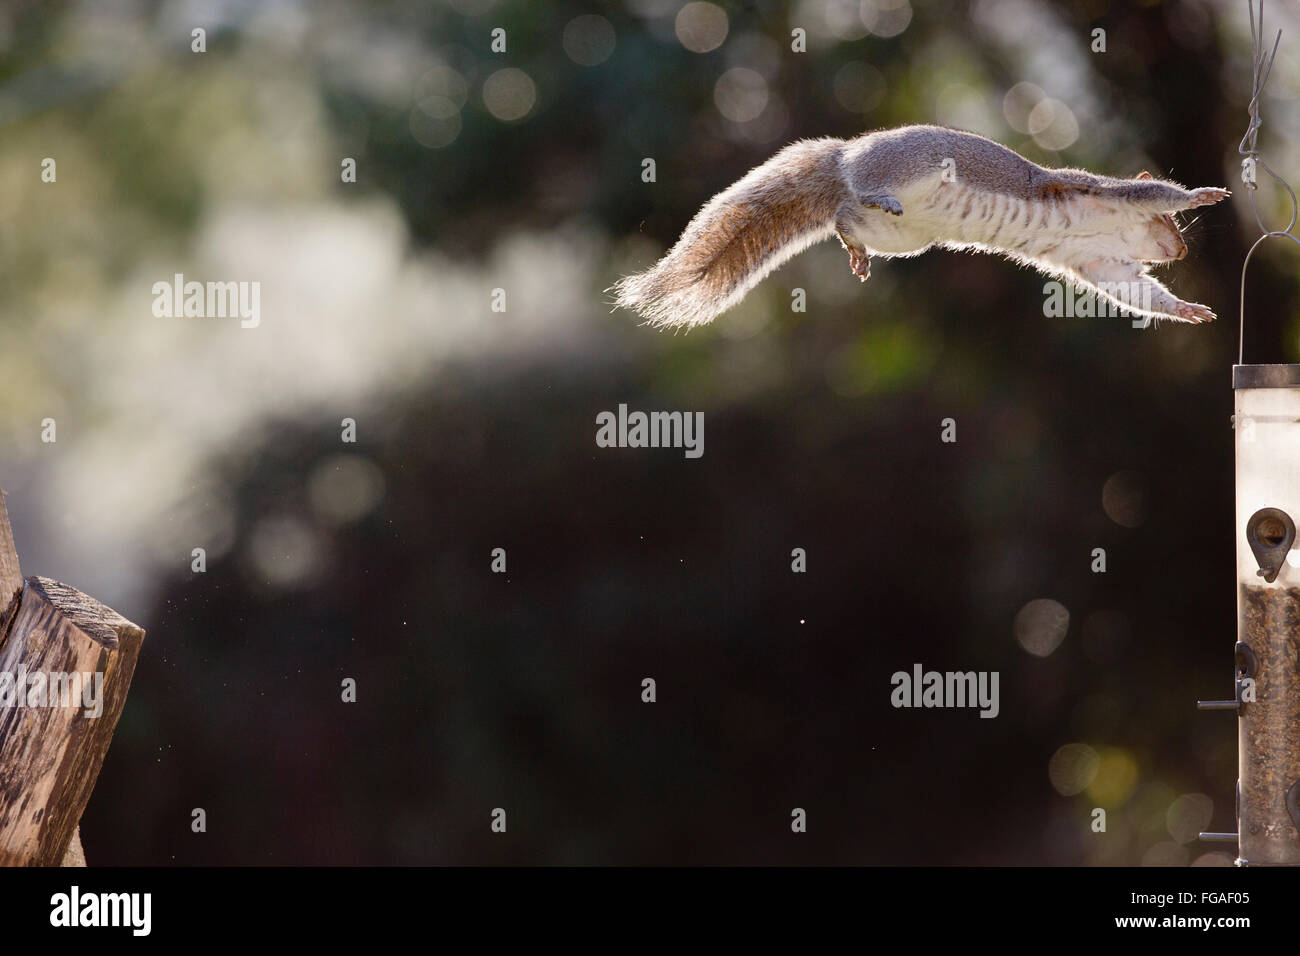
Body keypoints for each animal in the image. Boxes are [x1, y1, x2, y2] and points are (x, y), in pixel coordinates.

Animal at [612, 124, 1230, 329]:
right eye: (1170, 223)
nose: (1179, 253)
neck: (1110, 232)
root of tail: (844, 155)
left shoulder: (1100, 263)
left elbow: (1135, 290)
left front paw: (1187, 309)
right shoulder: (1103, 195)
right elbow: (1151, 190)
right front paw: (1202, 193)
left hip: (906, 237)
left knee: (845, 217)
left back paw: (855, 249)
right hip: (914, 166)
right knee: (856, 195)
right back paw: (869, 195)